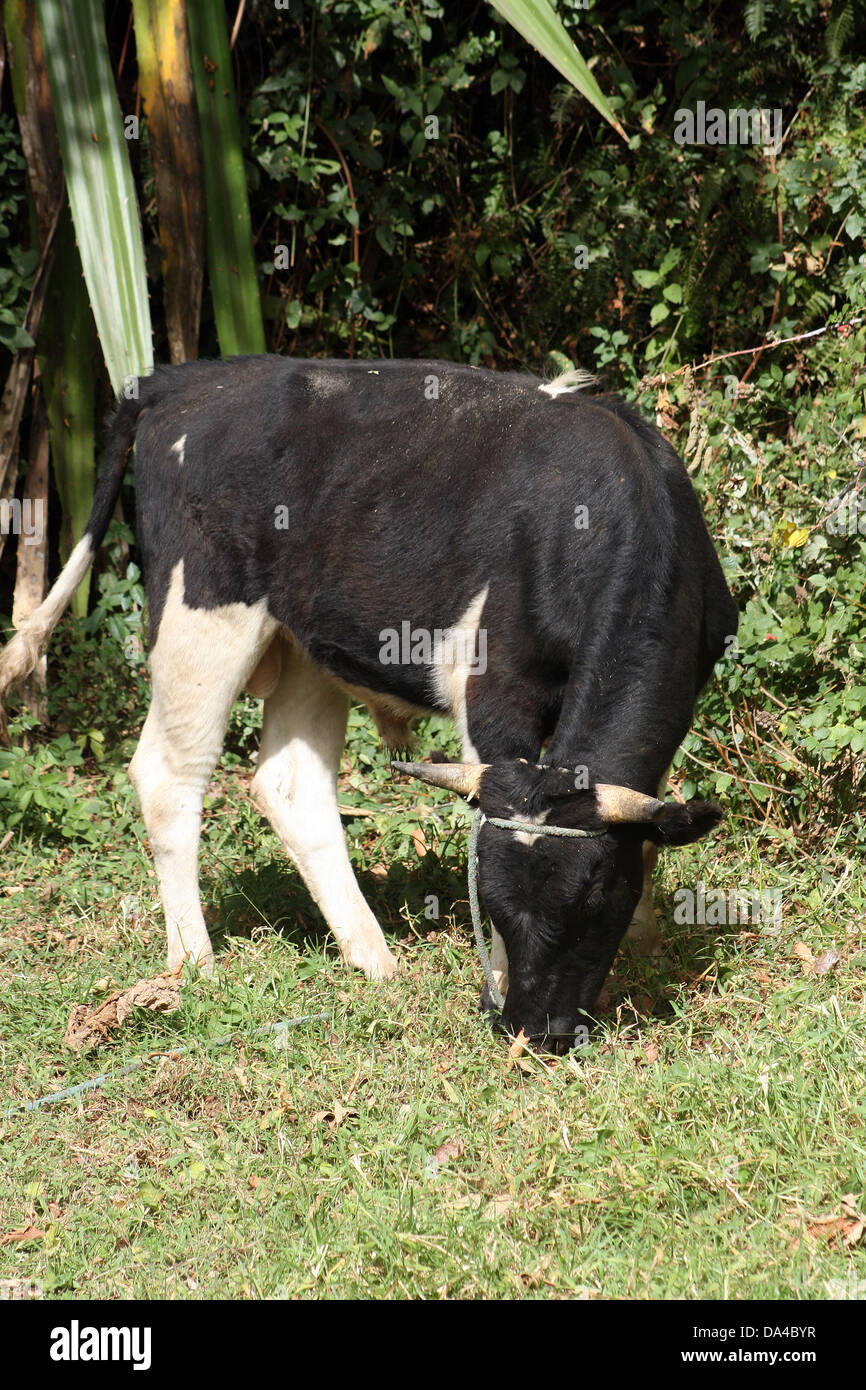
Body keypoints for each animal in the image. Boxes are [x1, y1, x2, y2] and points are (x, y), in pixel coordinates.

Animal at [0, 356, 737, 1048]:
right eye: (494, 901)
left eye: (593, 895)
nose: (530, 1027)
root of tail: (186, 379)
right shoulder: (494, 692)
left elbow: (648, 831)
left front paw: (645, 948)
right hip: (201, 616)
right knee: (167, 775)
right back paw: (195, 962)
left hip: (306, 647)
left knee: (288, 784)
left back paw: (372, 956)